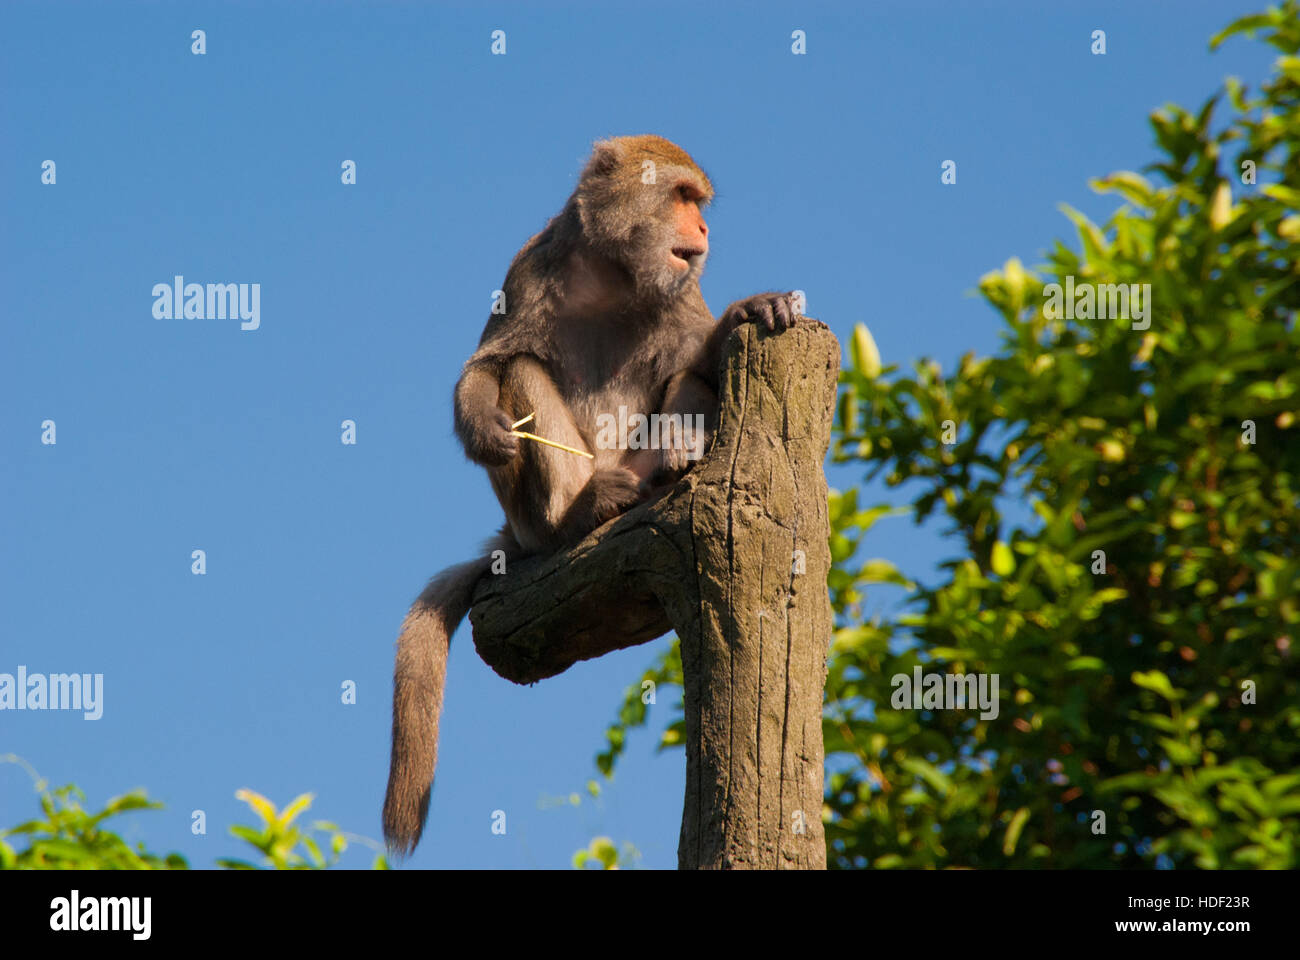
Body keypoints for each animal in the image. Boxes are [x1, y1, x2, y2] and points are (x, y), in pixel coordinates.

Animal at [383, 135, 799, 856]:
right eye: (682, 198)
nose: (703, 231)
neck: (616, 277)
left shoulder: (680, 296)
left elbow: (696, 356)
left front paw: (748, 313)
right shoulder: (529, 268)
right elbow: (491, 364)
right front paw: (481, 422)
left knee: (691, 381)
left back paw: (672, 463)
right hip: (529, 517)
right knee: (522, 371)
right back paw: (582, 512)